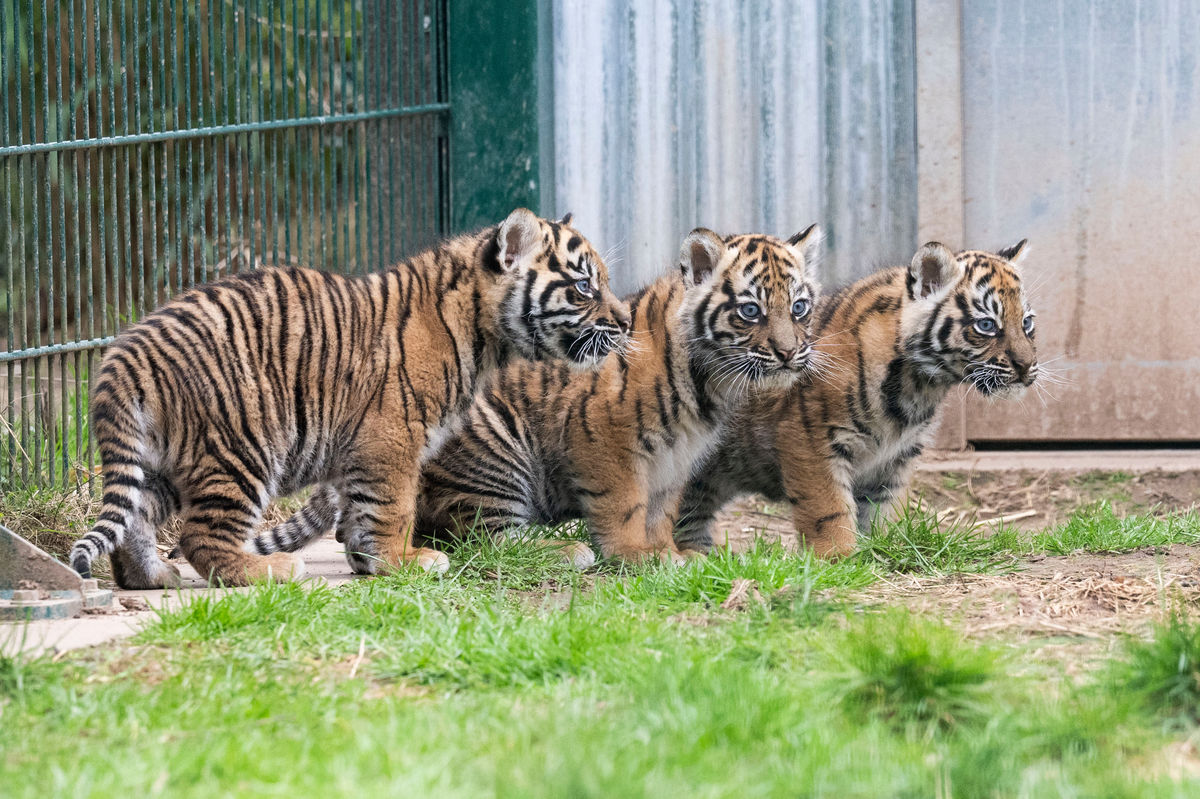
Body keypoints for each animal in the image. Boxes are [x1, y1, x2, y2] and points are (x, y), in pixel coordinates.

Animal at [69, 209, 631, 588]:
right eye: (584, 286)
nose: (626, 322)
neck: (485, 334)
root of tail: (127, 352)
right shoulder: (392, 438)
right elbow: (393, 505)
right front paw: (405, 560)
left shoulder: (358, 448)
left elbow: (359, 509)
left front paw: (369, 561)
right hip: (239, 447)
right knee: (200, 535)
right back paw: (267, 569)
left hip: (161, 460)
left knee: (137, 518)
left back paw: (150, 577)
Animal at [405, 225, 822, 565]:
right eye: (750, 310)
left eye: (799, 308)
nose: (789, 353)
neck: (711, 383)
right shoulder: (602, 436)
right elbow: (625, 504)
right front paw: (635, 554)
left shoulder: (676, 456)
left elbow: (661, 510)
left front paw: (670, 554)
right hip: (497, 451)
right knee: (485, 535)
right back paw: (563, 549)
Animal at [673, 239, 1037, 558]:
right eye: (987, 324)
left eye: (1027, 322)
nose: (1026, 366)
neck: (921, 385)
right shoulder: (809, 439)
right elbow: (828, 507)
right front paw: (839, 557)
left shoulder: (896, 456)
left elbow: (879, 509)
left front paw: (880, 549)